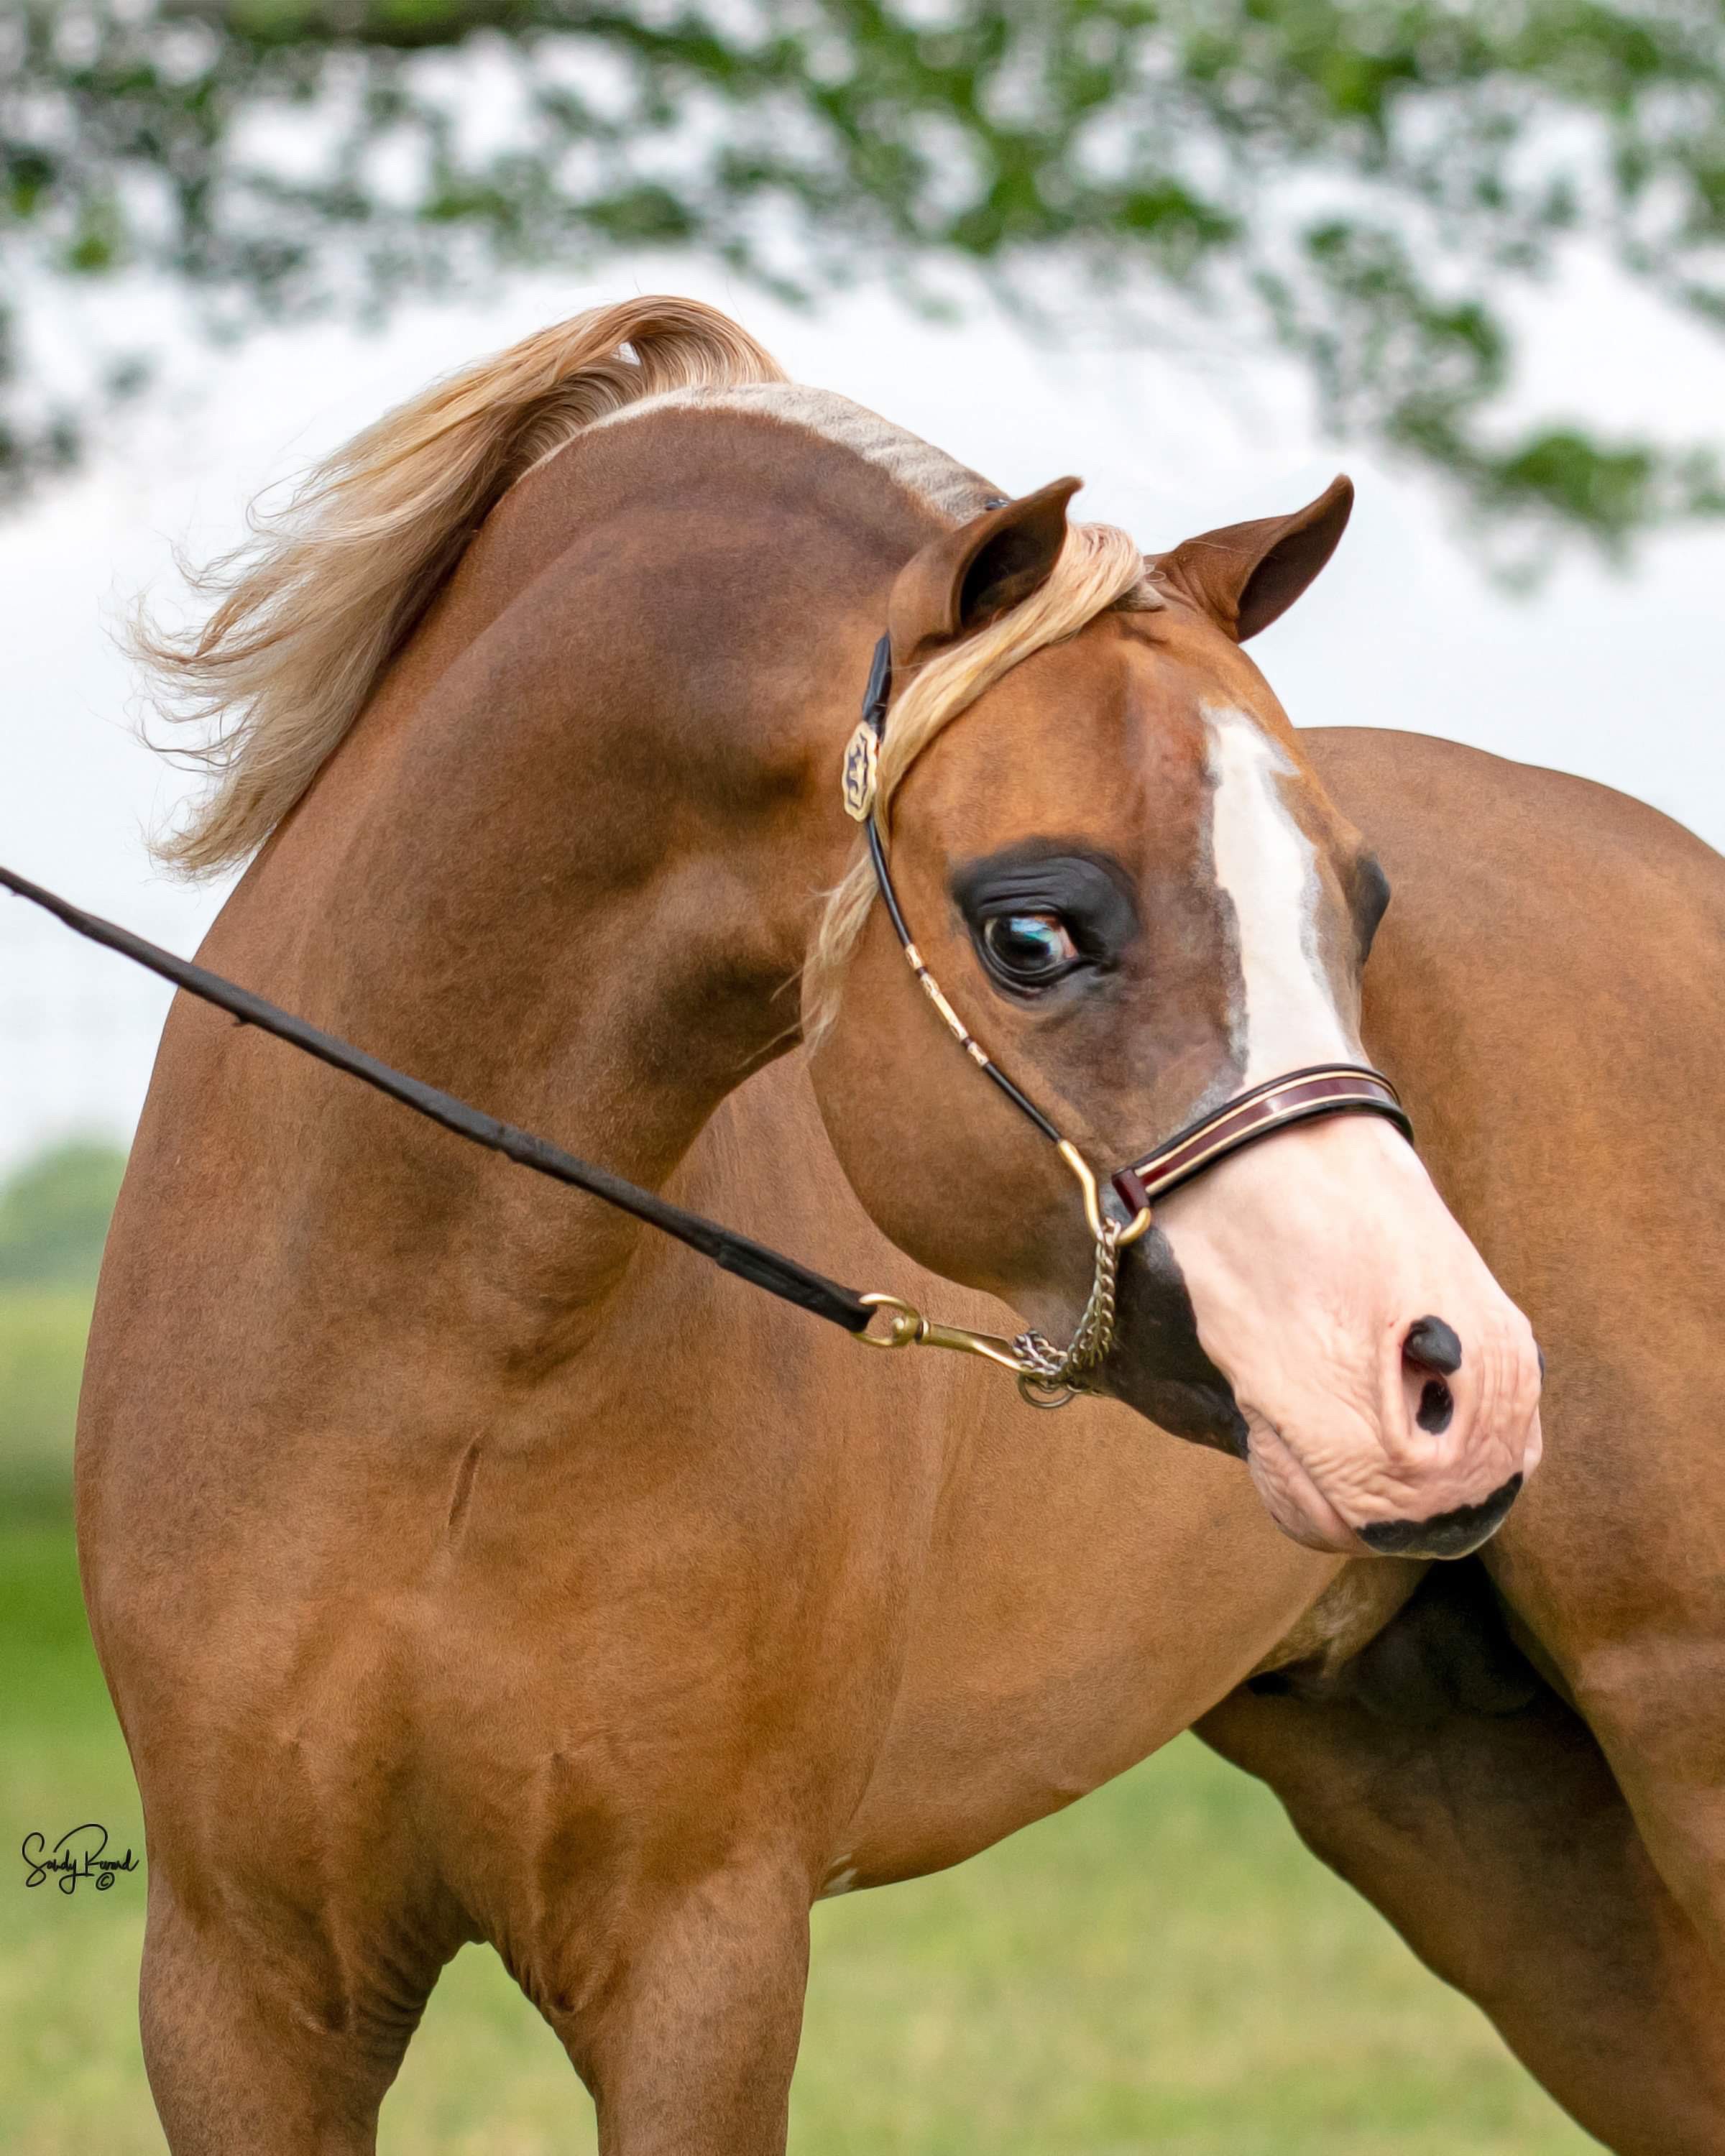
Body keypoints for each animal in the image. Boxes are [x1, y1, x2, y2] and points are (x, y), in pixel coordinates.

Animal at [76, 295, 1725, 2154]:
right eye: (1032, 930)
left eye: (1361, 909)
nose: (1449, 1375)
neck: (424, 1361)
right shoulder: (243, 1985)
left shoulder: (698, 1953)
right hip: (1464, 1797)